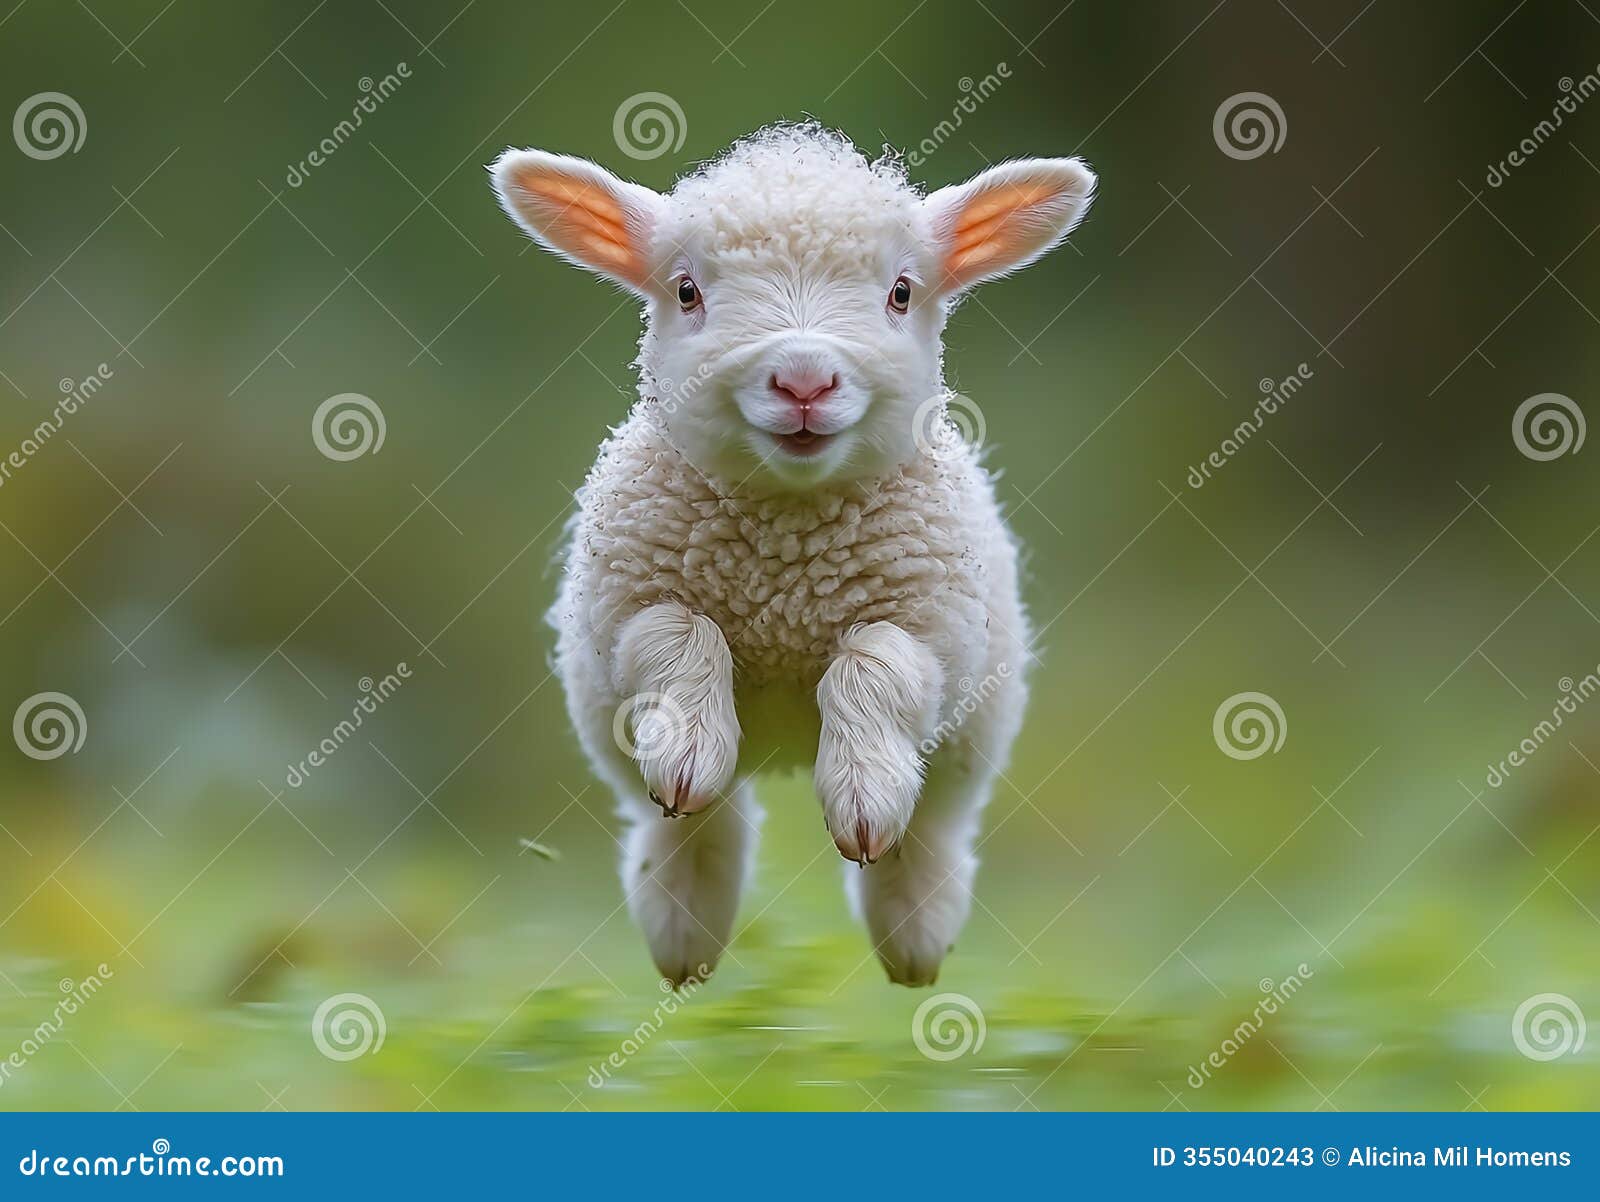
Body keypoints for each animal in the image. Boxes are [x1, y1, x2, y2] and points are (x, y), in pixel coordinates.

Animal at [490, 124, 1095, 986]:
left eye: (902, 293)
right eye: (686, 292)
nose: (804, 380)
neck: (786, 552)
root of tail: (779, 752)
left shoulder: (938, 636)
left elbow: (876, 662)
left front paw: (863, 800)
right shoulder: (622, 615)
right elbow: (681, 635)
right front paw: (688, 750)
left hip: (970, 739)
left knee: (930, 831)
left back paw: (914, 940)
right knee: (696, 825)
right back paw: (685, 930)